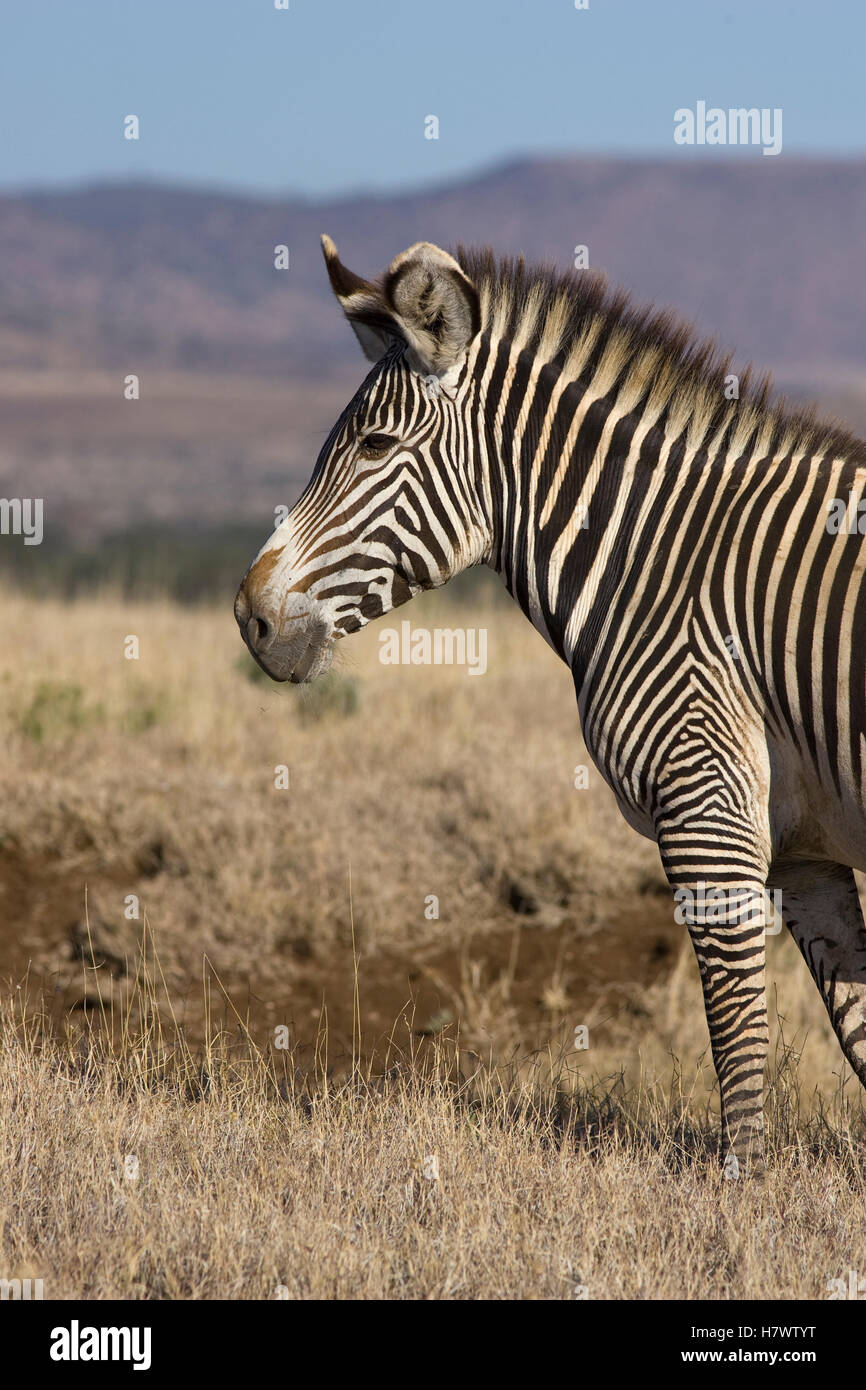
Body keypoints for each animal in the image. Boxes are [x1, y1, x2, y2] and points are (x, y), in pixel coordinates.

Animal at [235, 234, 866, 1174]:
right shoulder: (806, 846)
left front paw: (742, 1187)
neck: (660, 559)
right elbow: (858, 1023)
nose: (251, 616)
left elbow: (737, 1021)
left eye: (376, 445)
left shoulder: (706, 801)